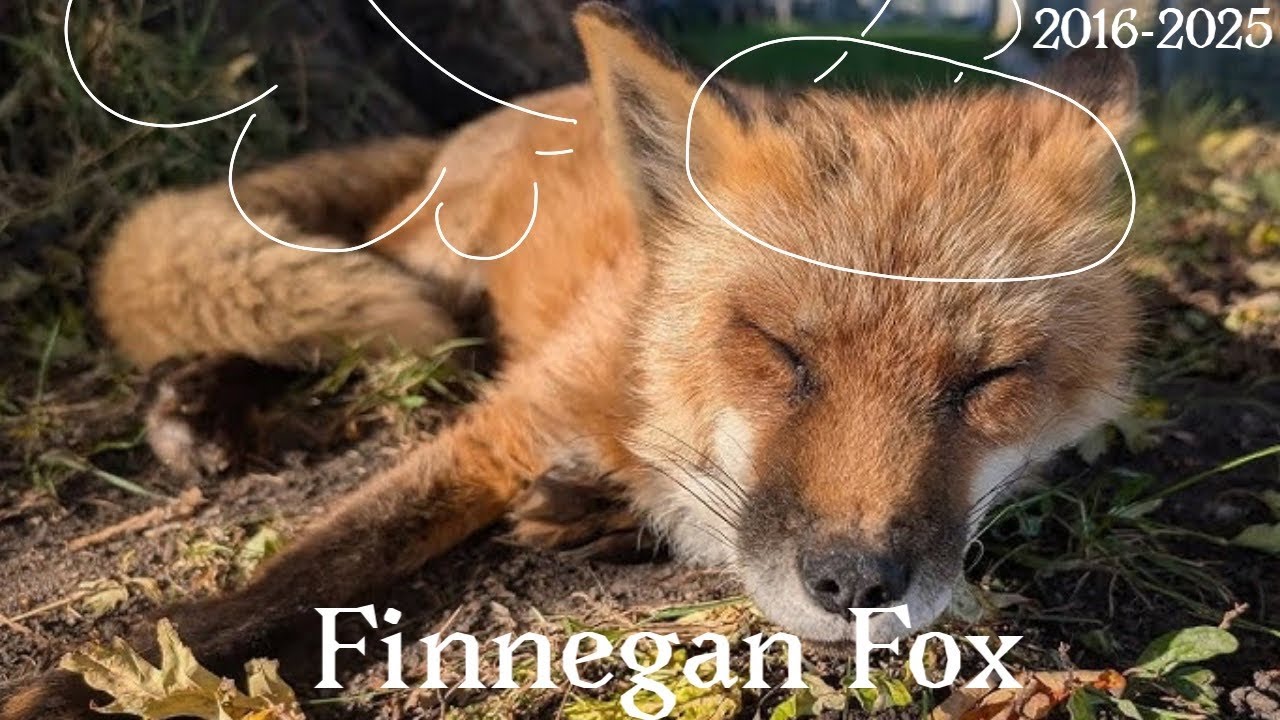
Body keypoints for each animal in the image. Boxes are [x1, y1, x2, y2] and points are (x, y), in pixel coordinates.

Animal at [2, 3, 1141, 716]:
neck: (662, 400)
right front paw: (95, 684)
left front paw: (605, 514)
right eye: (776, 348)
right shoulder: (505, 422)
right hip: (439, 276)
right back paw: (196, 403)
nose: (855, 584)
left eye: (987, 382)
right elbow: (314, 565)